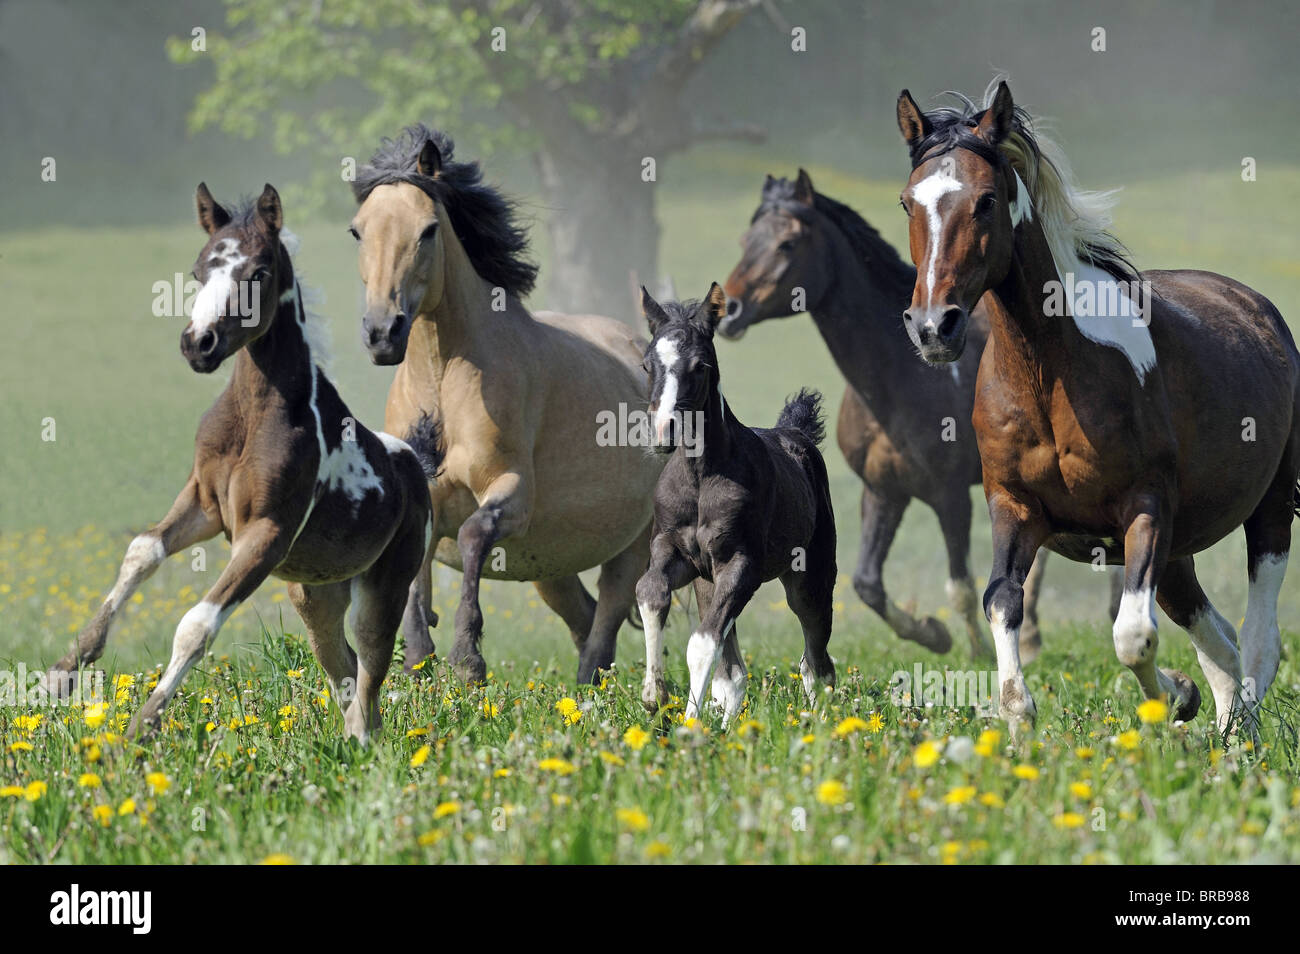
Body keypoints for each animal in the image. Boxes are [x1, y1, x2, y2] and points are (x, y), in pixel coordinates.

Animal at [48, 184, 437, 743]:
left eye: (258, 272)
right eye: (197, 271)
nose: (198, 343)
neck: (254, 416)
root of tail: (413, 463)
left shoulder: (266, 534)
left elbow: (196, 624)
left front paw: (141, 728)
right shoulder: (205, 503)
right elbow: (143, 551)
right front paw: (61, 674)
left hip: (383, 589)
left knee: (368, 671)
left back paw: (363, 747)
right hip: (314, 596)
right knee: (341, 666)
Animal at [348, 126, 663, 685]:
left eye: (428, 230)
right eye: (358, 232)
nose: (383, 333)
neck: (443, 381)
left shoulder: (510, 492)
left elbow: (474, 534)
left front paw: (466, 658)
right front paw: (417, 655)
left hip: (631, 547)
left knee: (604, 626)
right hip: (550, 564)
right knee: (584, 621)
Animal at [634, 283, 838, 725]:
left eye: (700, 366)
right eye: (647, 364)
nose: (663, 432)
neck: (699, 478)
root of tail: (795, 431)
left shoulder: (741, 565)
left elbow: (701, 644)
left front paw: (688, 723)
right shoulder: (677, 555)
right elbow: (649, 591)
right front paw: (654, 695)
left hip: (810, 579)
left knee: (817, 663)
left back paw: (821, 723)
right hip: (707, 582)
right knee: (736, 673)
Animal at [895, 79, 1300, 735]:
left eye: (986, 200)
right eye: (908, 202)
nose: (934, 327)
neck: (1051, 372)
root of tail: (1257, 306)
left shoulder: (1145, 507)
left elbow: (1132, 636)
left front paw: (1171, 700)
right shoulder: (1014, 506)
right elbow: (1002, 602)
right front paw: (1022, 714)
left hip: (1269, 507)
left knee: (1259, 637)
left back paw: (1240, 730)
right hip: (1180, 549)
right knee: (1216, 633)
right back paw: (1224, 720)